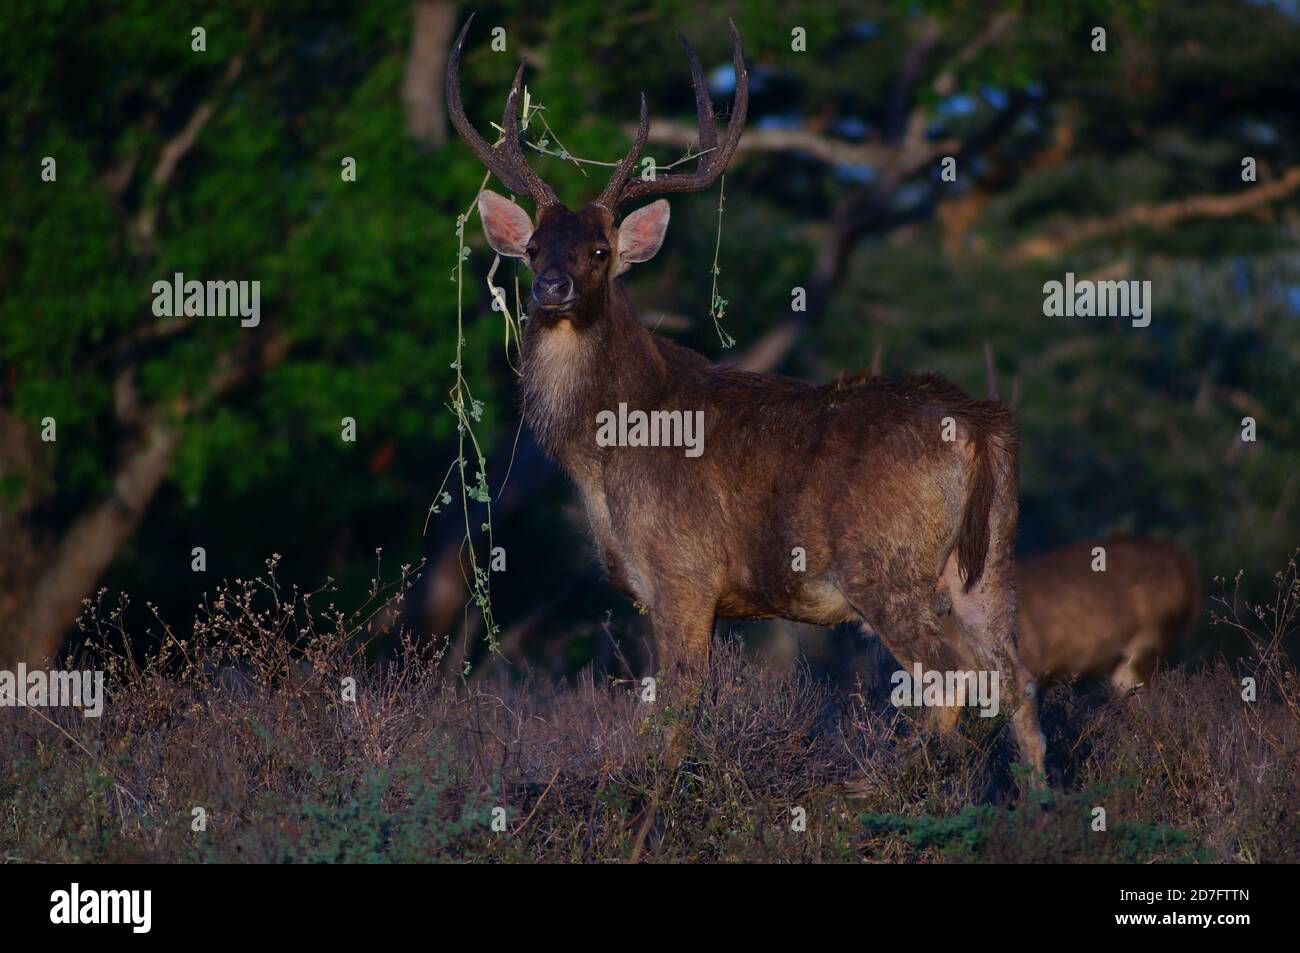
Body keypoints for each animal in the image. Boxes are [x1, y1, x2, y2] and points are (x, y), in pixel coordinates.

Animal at [446, 16, 1047, 776]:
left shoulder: (682, 568)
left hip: (884, 564)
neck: (605, 450)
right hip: (988, 563)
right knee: (1017, 681)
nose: (553, 287)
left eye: (600, 252)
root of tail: (979, 424)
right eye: (531, 249)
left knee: (950, 679)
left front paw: (653, 790)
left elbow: (673, 711)